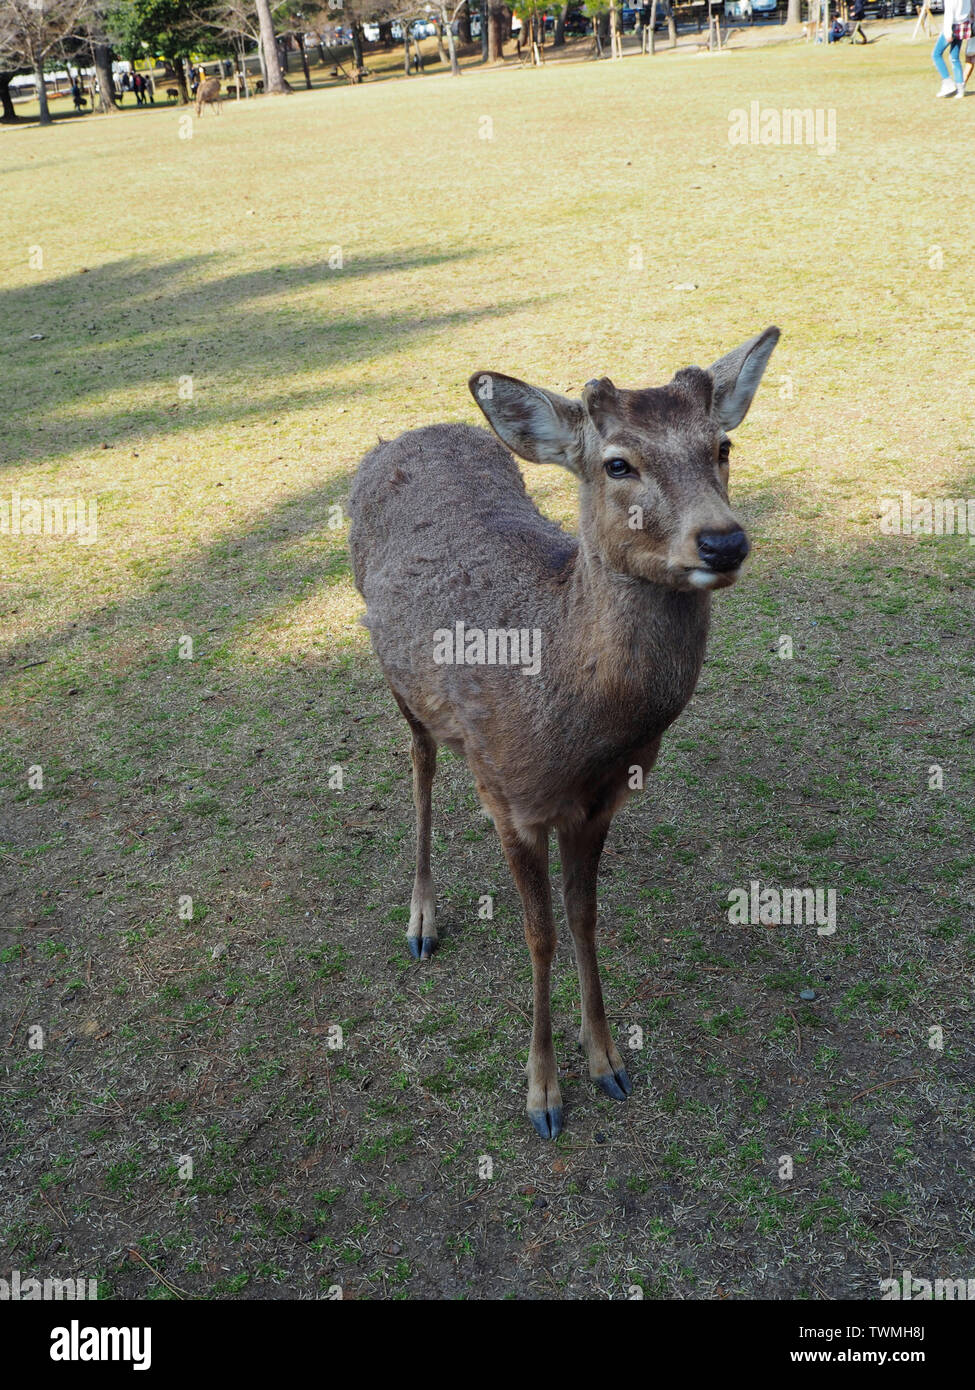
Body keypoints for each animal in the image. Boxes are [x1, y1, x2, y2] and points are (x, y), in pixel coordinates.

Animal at [347, 326, 779, 1140]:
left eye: (722, 444)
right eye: (617, 463)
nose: (722, 541)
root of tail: (401, 437)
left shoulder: (601, 803)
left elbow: (584, 918)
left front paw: (607, 1059)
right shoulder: (511, 800)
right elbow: (539, 934)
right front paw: (542, 1093)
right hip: (395, 675)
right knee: (419, 765)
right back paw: (421, 919)